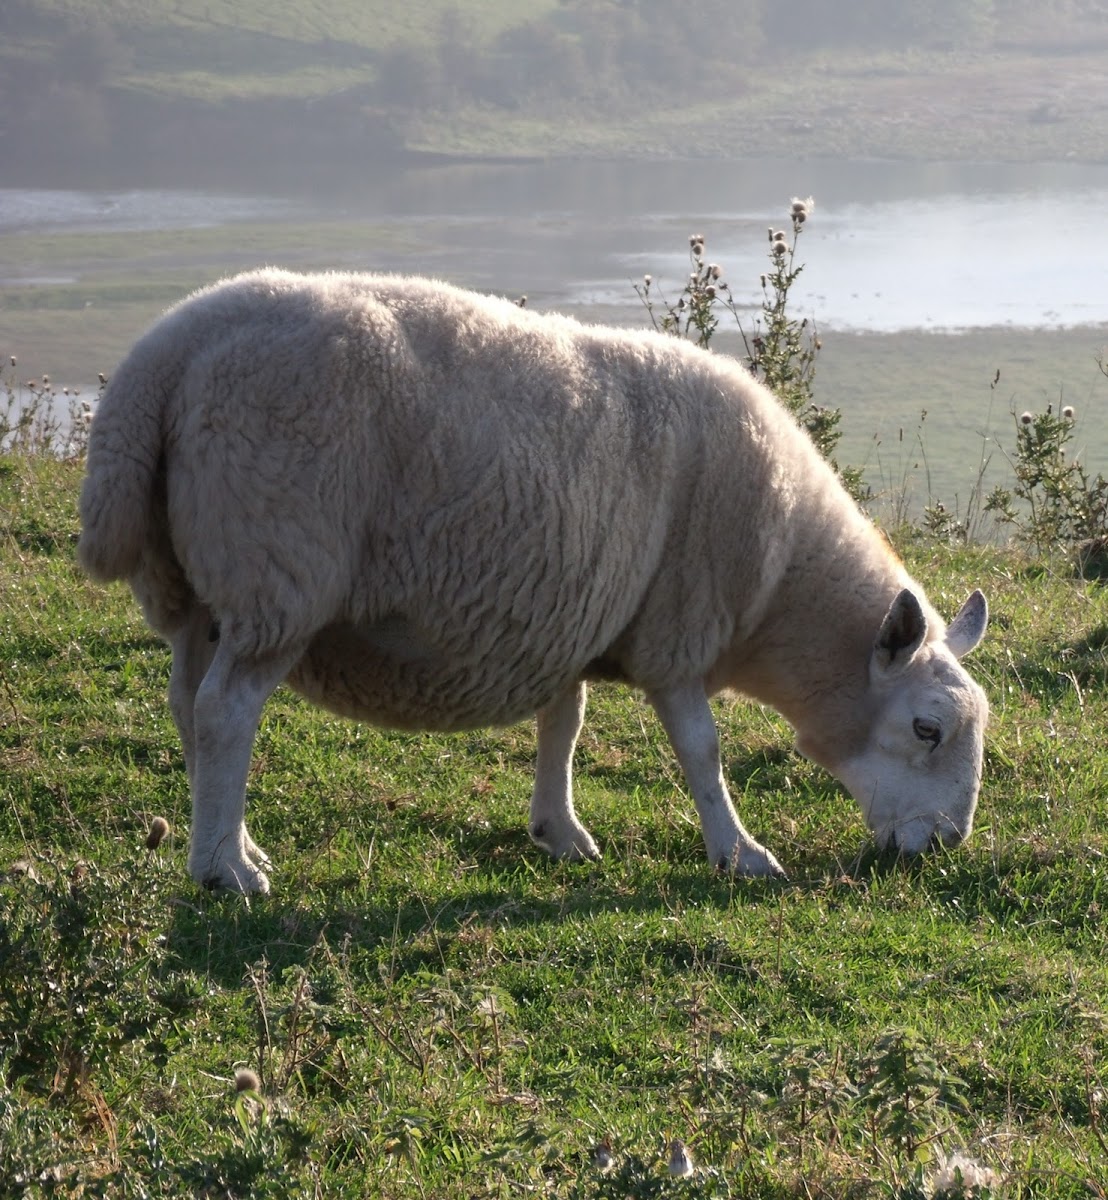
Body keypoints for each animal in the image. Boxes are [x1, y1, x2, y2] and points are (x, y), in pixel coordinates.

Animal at [77, 268, 989, 894]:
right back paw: (224, 870)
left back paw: (226, 840)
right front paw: (739, 852)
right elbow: (702, 750)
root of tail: (164, 356)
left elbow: (565, 722)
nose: (946, 847)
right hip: (278, 570)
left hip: (203, 585)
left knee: (188, 702)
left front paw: (560, 830)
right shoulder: (677, 628)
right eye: (928, 729)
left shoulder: (573, 610)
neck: (782, 593)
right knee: (227, 712)